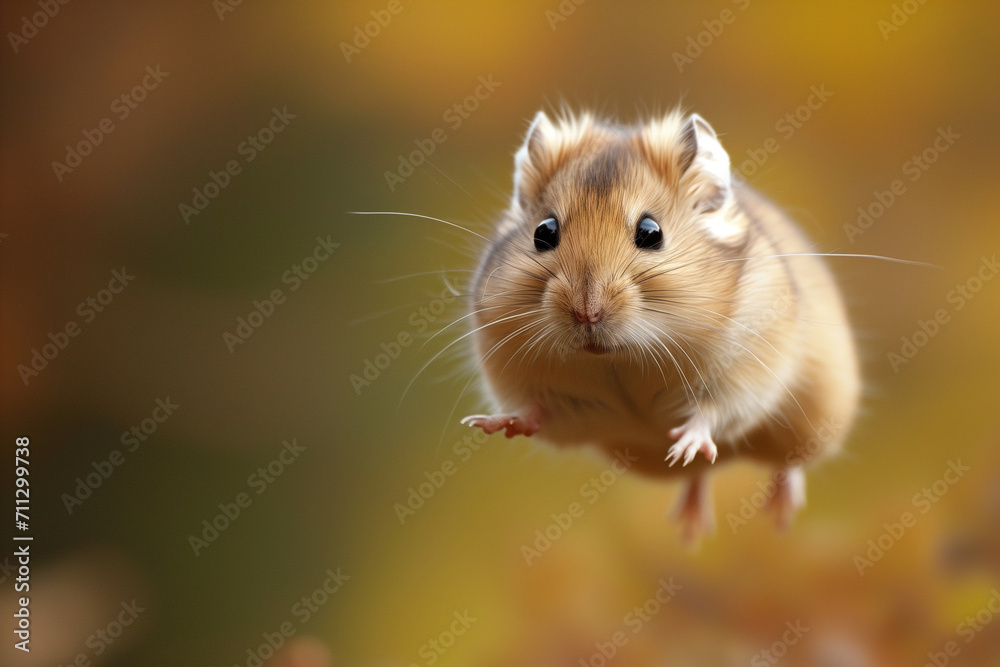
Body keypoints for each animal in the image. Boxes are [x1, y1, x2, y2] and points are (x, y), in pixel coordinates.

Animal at [461, 109, 860, 540]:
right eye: (544, 231)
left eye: (650, 232)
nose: (586, 313)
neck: (615, 358)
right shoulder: (543, 391)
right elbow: (534, 411)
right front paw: (484, 423)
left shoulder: (747, 372)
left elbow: (711, 411)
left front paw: (682, 445)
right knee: (698, 478)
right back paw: (690, 528)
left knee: (787, 462)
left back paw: (778, 515)